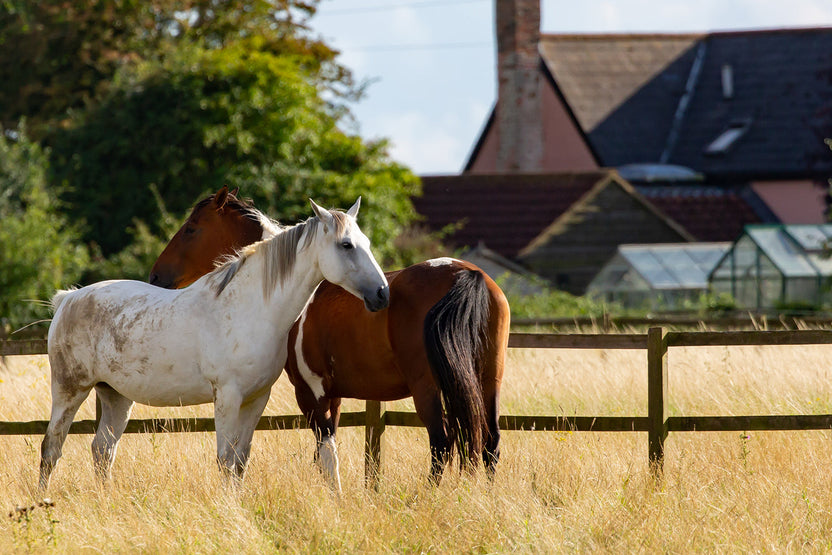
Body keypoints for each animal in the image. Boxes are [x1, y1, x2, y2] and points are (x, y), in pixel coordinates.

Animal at [39, 198, 389, 491]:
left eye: (367, 244)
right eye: (346, 245)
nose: (382, 293)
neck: (251, 307)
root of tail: (68, 299)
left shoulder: (256, 399)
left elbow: (240, 461)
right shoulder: (228, 398)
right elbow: (225, 459)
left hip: (116, 397)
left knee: (102, 449)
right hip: (69, 390)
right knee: (51, 447)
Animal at [149, 187, 510, 492]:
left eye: (191, 228)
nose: (156, 276)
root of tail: (467, 274)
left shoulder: (310, 392)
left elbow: (325, 452)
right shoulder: (332, 394)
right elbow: (324, 454)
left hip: (428, 387)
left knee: (442, 442)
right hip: (488, 380)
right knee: (489, 442)